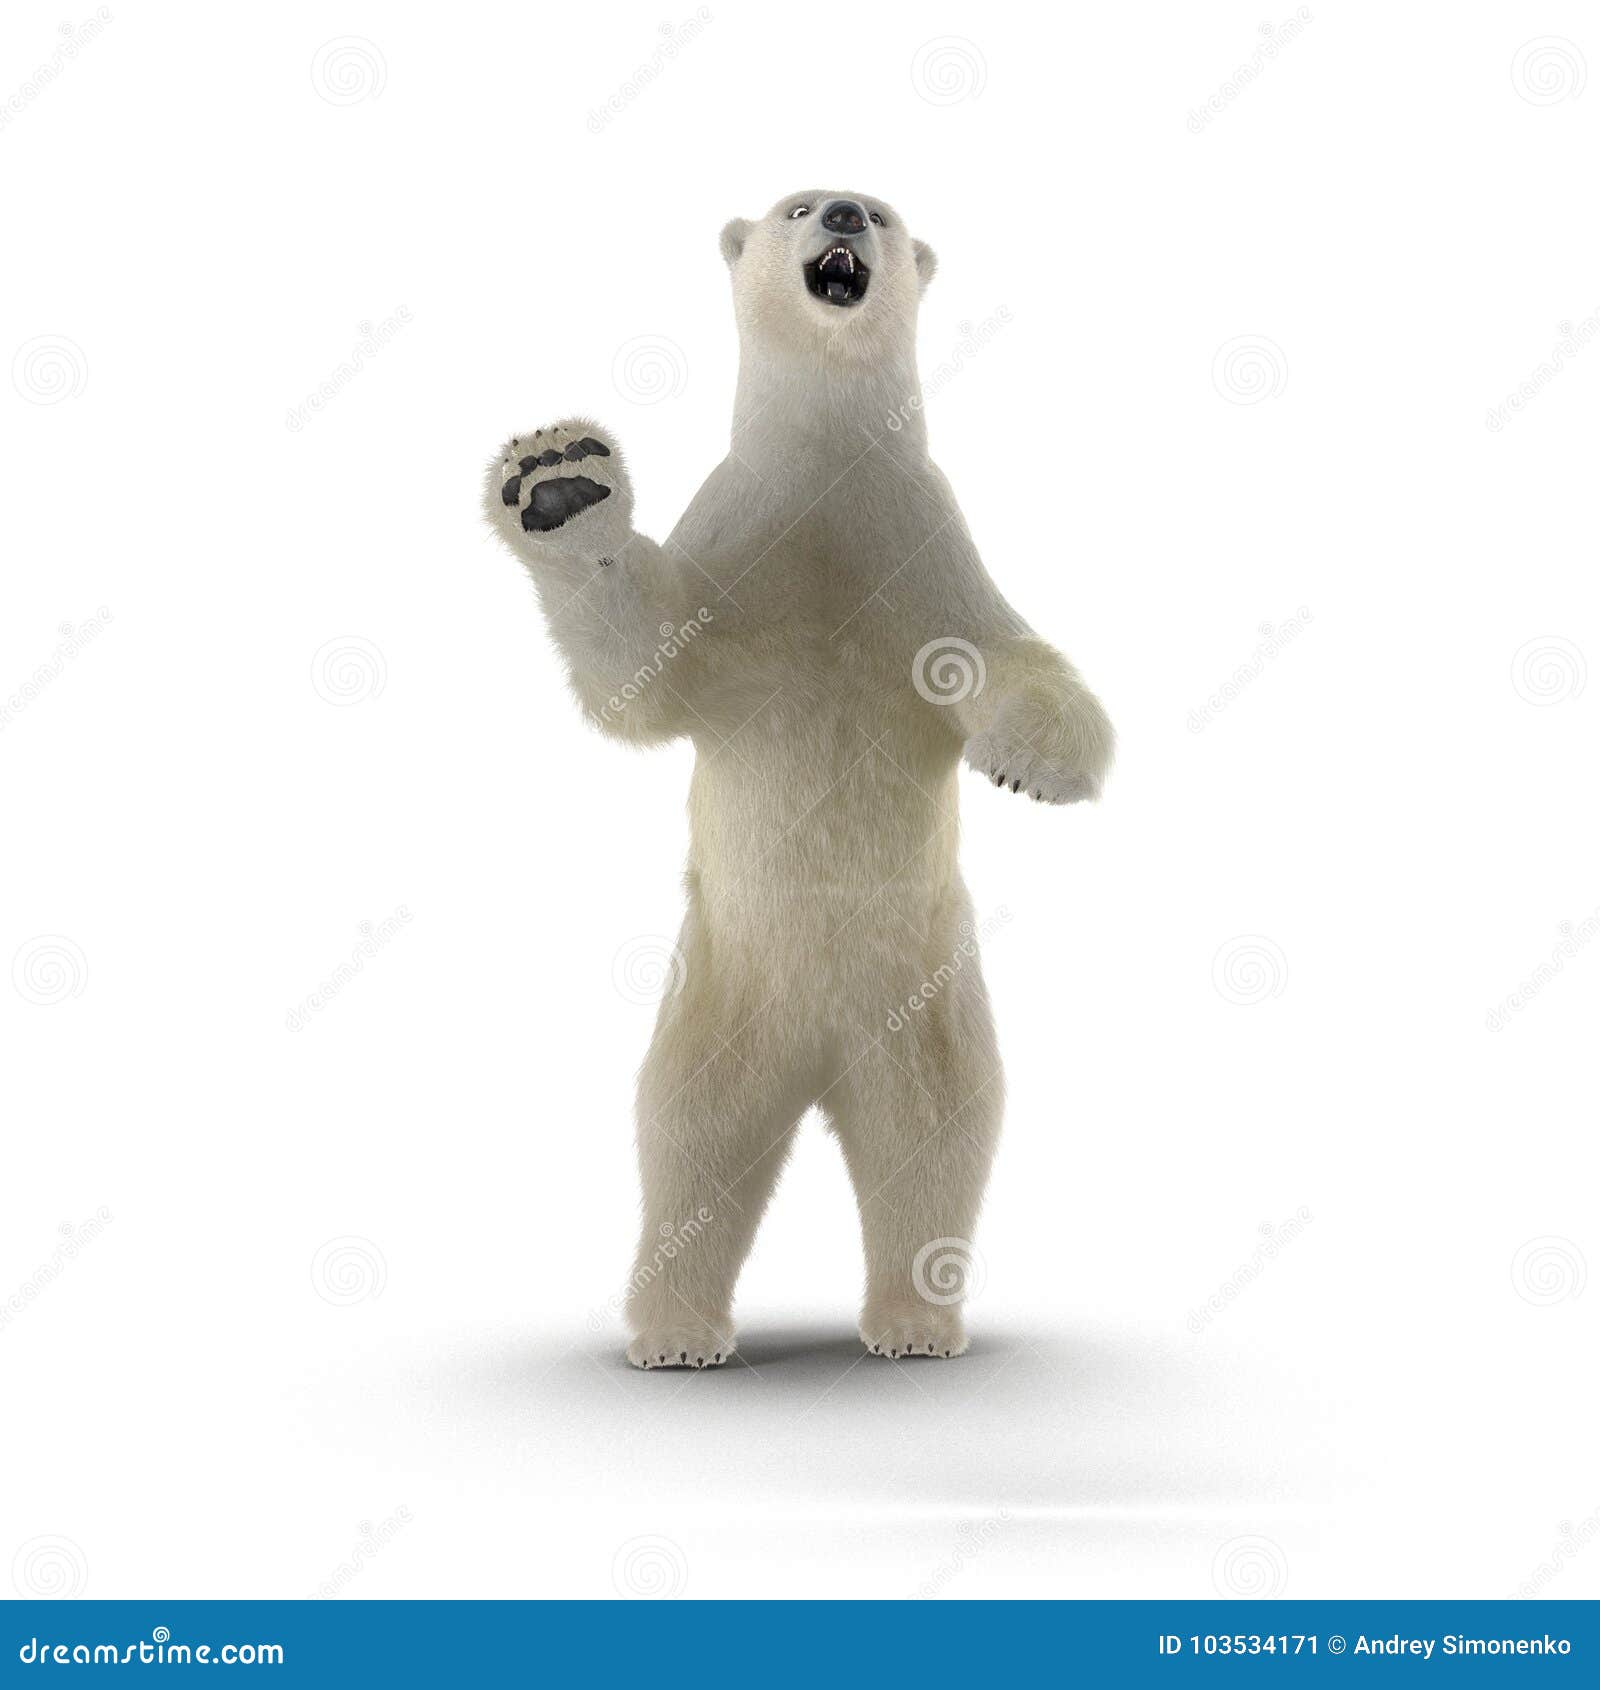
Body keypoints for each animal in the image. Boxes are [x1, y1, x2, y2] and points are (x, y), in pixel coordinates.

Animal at [483, 189, 1113, 1369]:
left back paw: (915, 1319)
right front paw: (561, 486)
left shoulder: (921, 539)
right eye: (795, 206)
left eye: (884, 209)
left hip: (926, 998)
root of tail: (821, 1063)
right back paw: (676, 1332)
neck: (829, 473)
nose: (847, 214)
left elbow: (1000, 655)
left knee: (940, 1130)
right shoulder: (742, 539)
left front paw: (1032, 763)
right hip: (719, 991)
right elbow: (649, 678)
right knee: (688, 1136)